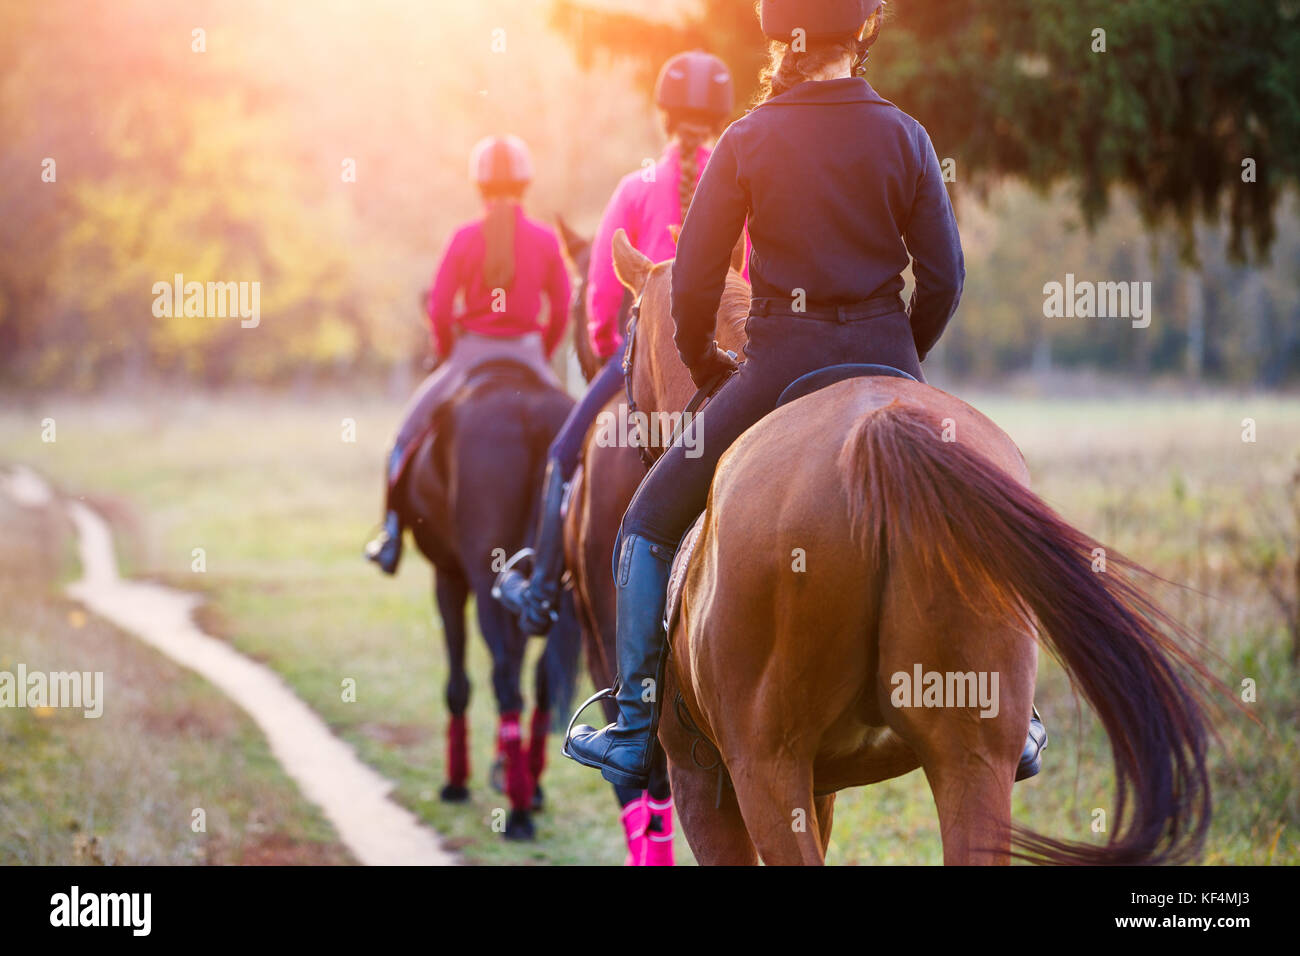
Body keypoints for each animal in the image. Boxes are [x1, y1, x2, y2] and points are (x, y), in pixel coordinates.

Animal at [400, 359, 580, 841]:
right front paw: (515, 774)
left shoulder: (448, 577)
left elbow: (459, 682)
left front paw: (458, 783)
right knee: (539, 680)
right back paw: (528, 786)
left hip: (483, 582)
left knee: (505, 684)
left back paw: (515, 811)